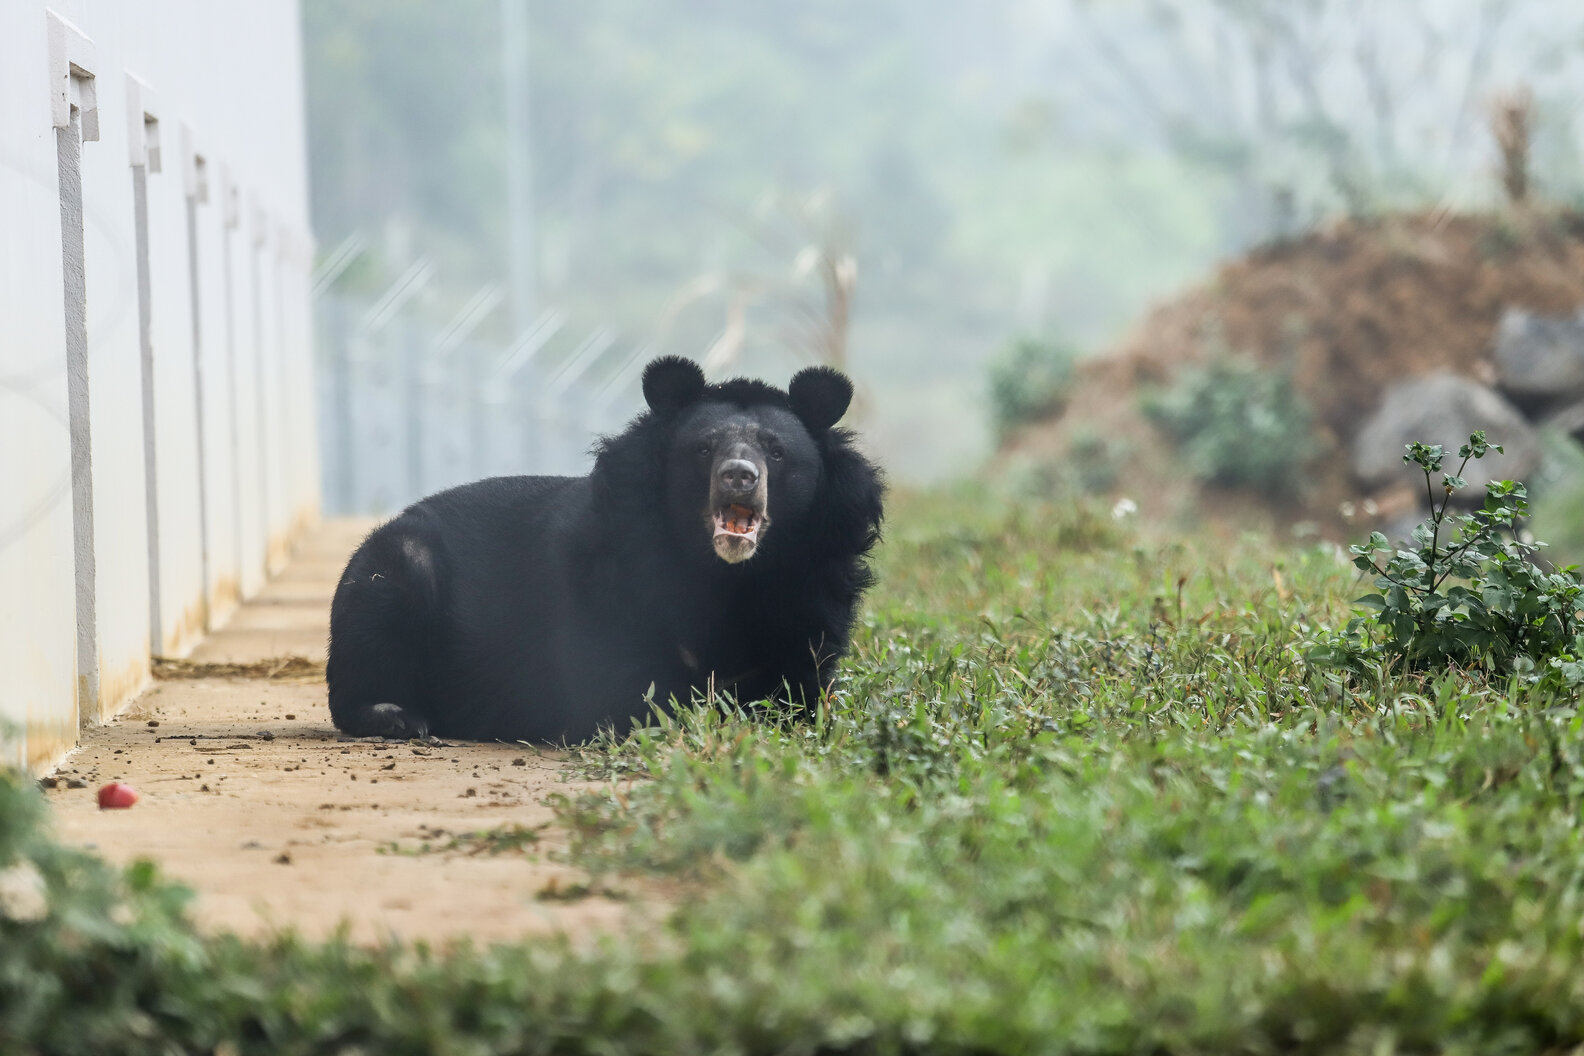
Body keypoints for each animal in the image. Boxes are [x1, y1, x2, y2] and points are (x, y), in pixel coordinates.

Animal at [325, 355, 884, 743]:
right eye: (703, 449)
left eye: (776, 451)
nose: (739, 477)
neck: (730, 575)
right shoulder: (614, 580)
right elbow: (626, 688)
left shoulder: (813, 583)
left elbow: (797, 685)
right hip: (392, 568)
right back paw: (397, 717)